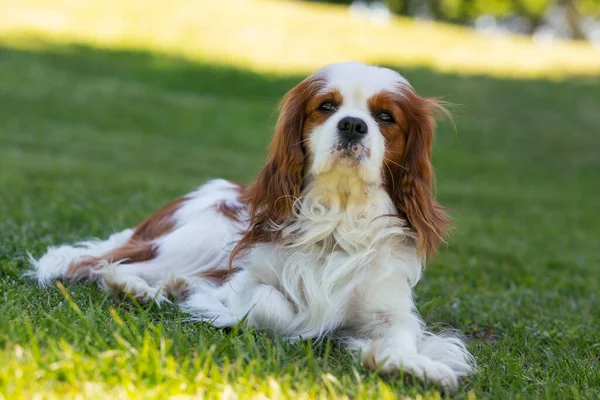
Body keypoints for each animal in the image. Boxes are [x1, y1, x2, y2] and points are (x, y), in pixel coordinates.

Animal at [30, 61, 476, 390]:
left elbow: (401, 334)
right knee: (100, 264)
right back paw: (135, 286)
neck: (337, 219)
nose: (352, 124)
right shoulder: (244, 280)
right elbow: (273, 304)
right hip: (204, 235)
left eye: (385, 117)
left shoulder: (388, 310)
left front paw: (409, 363)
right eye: (326, 107)